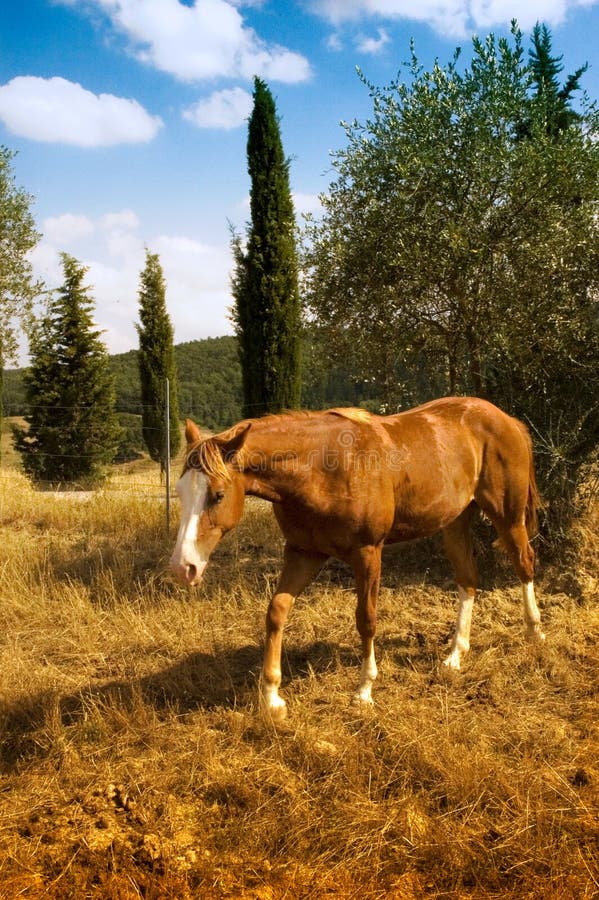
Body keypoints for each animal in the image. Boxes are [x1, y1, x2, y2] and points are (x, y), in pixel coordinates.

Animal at [169, 396, 544, 719]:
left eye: (218, 495)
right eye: (180, 492)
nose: (182, 567)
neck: (322, 469)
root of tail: (506, 420)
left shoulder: (367, 553)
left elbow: (366, 619)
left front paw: (364, 691)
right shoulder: (304, 552)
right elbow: (276, 612)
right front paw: (272, 698)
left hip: (507, 516)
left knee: (524, 562)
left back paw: (534, 634)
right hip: (455, 522)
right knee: (468, 578)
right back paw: (454, 655)